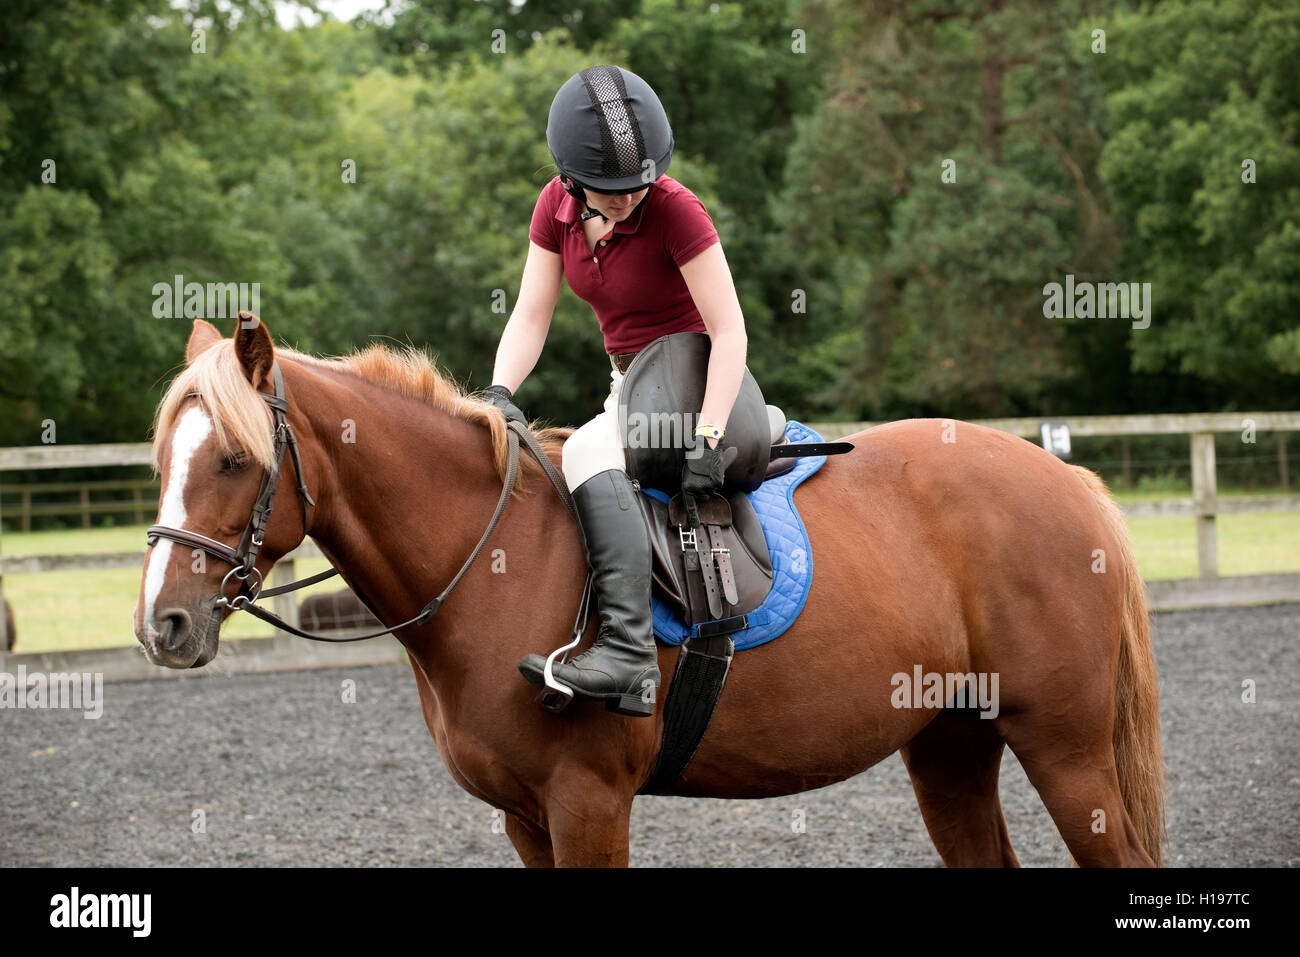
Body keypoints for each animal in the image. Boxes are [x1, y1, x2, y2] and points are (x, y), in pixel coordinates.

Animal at [134, 315, 1165, 867]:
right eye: (161, 460)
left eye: (234, 460)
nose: (161, 623)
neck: (492, 557)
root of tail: (1066, 479)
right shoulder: (524, 816)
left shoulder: (588, 802)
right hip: (949, 746)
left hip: (1066, 751)